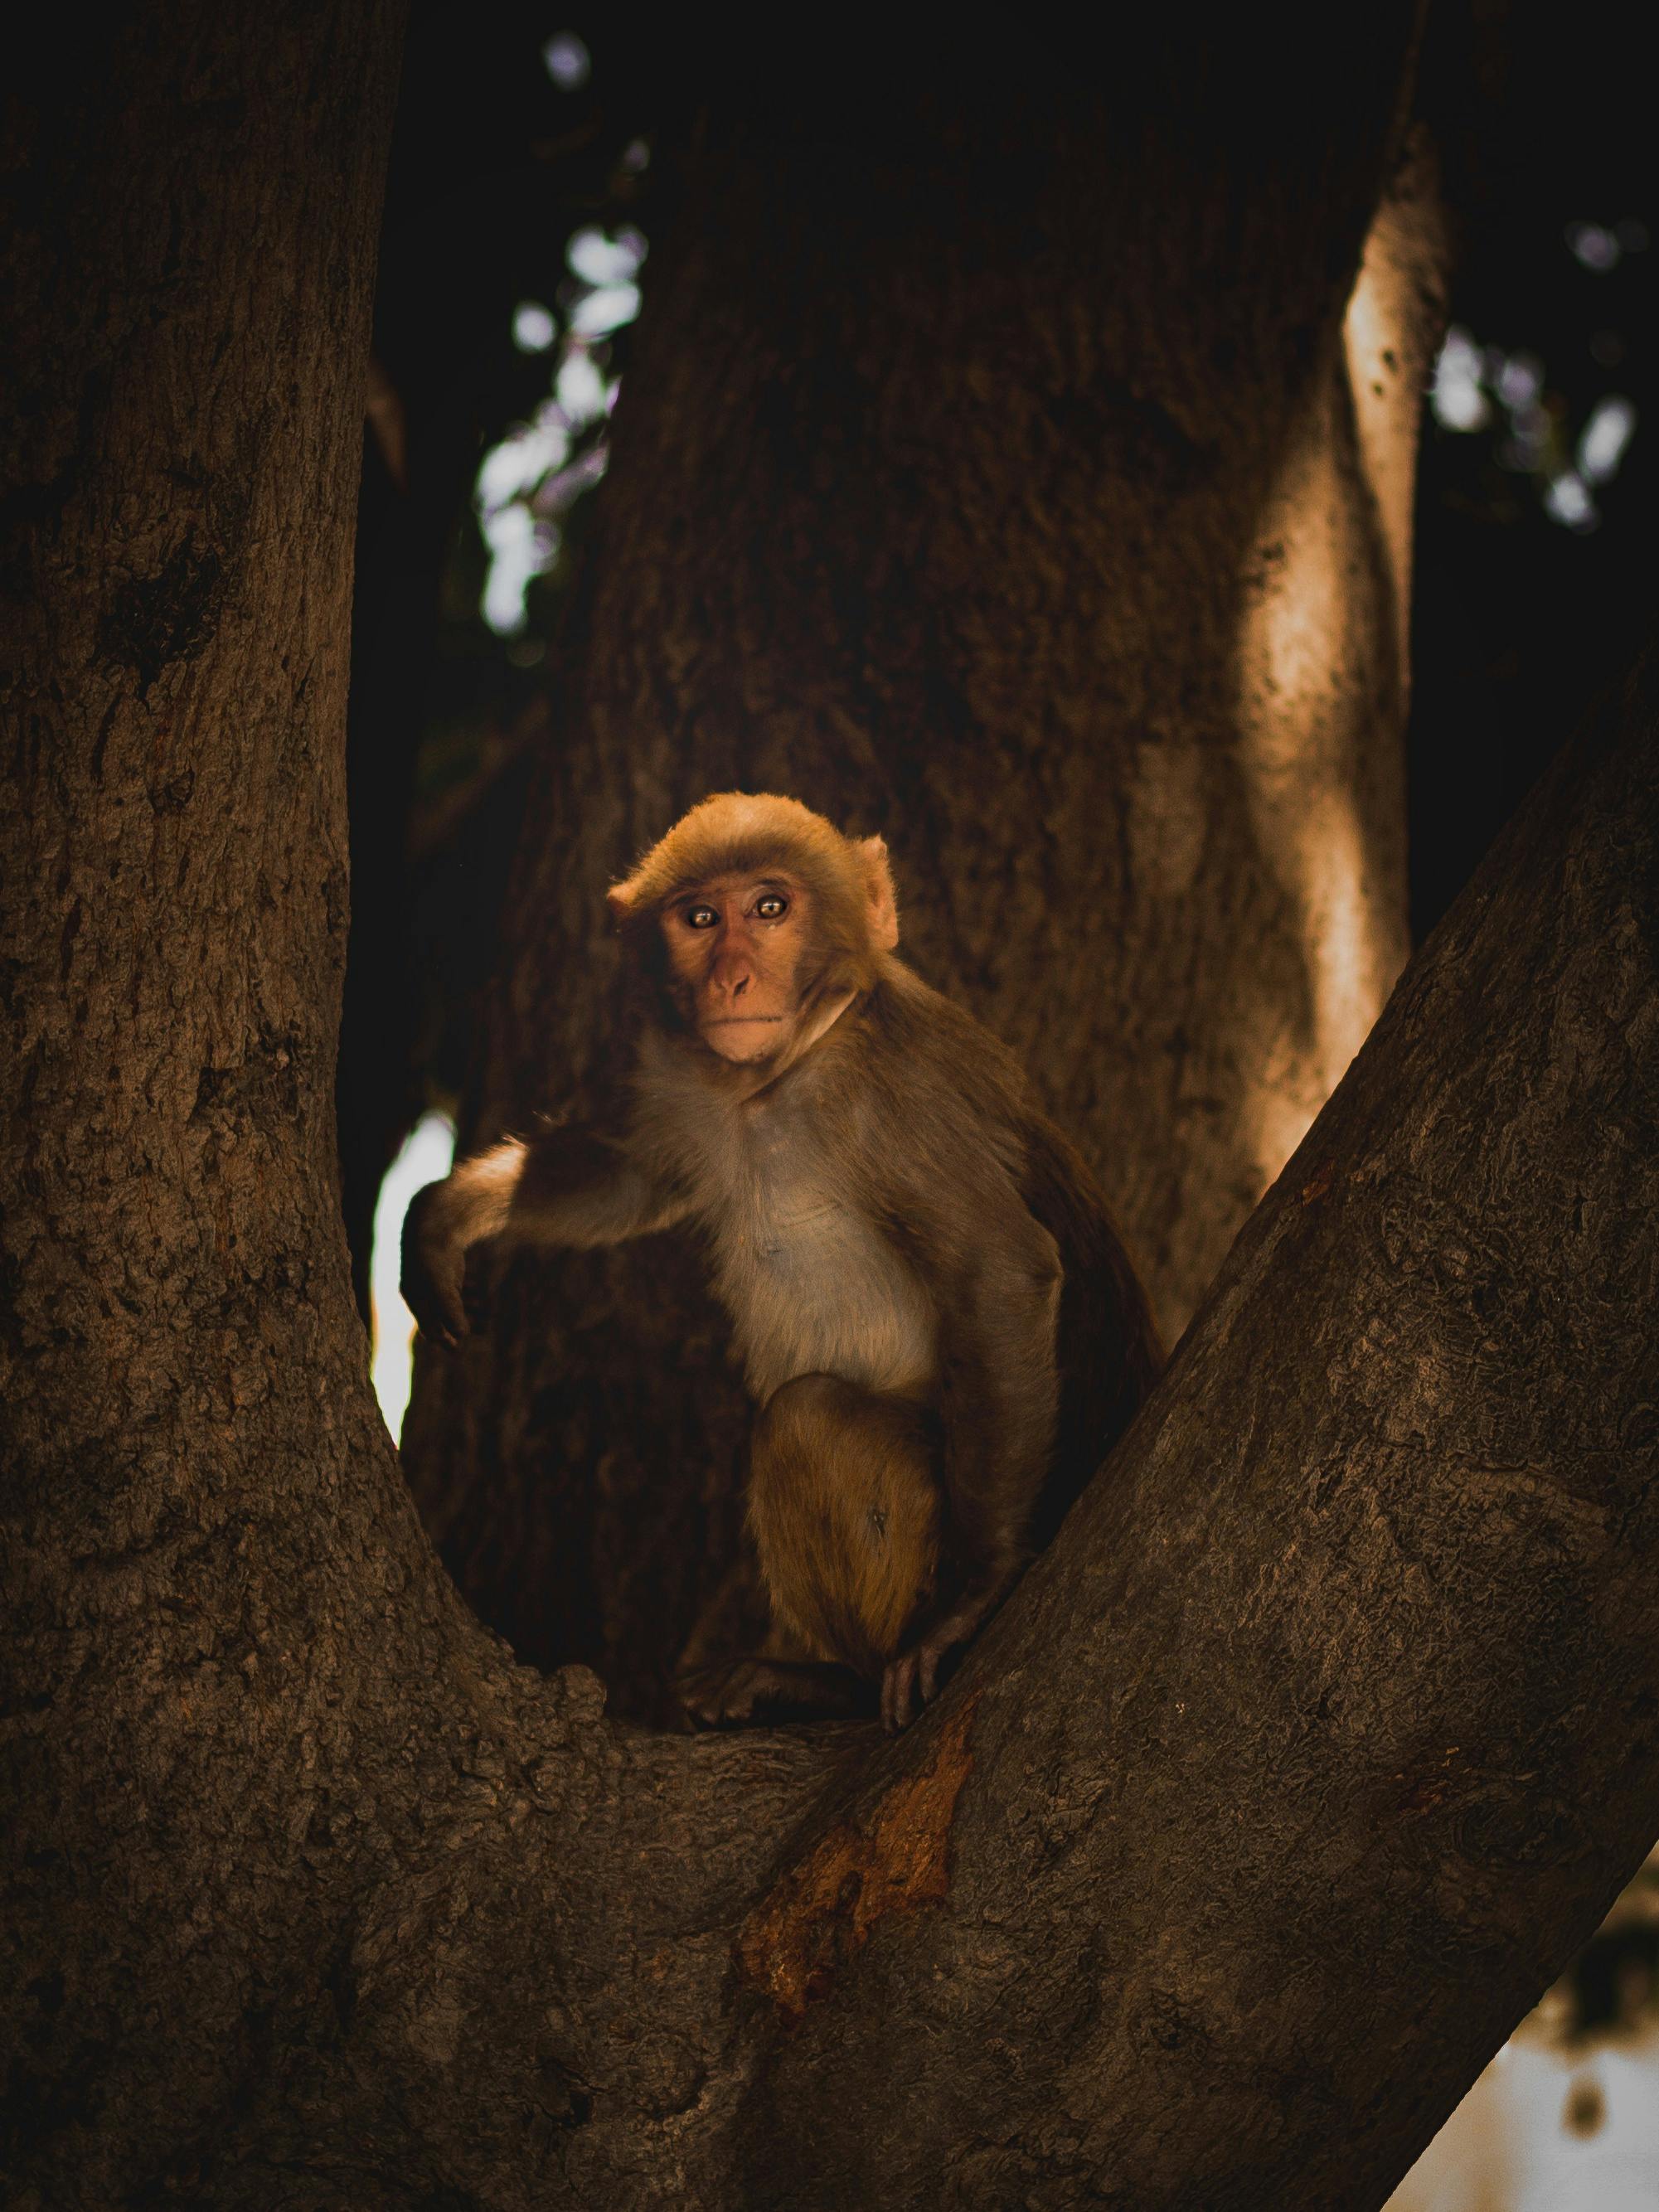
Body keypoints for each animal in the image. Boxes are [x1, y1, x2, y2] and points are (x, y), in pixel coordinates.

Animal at [402, 792, 1162, 1730]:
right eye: (700, 919)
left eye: (770, 908)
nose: (731, 980)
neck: (785, 1072)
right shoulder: (694, 1088)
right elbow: (633, 1176)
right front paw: (451, 1213)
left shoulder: (893, 1098)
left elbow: (998, 1270)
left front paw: (974, 1600)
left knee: (807, 1418)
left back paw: (837, 1681)